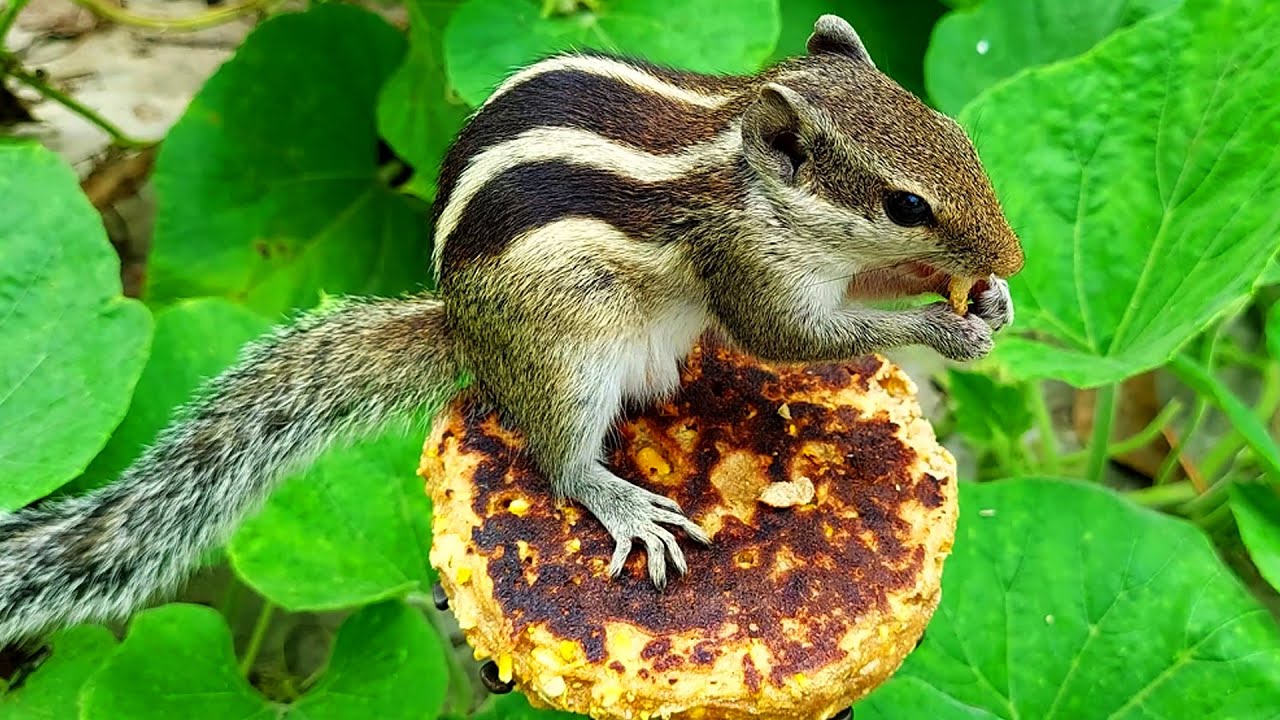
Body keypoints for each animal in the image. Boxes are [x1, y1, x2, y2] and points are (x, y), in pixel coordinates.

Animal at [0, 14, 1022, 644]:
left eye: (959, 137)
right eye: (904, 204)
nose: (1010, 254)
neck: (747, 176)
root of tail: (466, 331)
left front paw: (987, 303)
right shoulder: (746, 269)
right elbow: (794, 339)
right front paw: (945, 327)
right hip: (567, 354)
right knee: (560, 458)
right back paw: (620, 501)